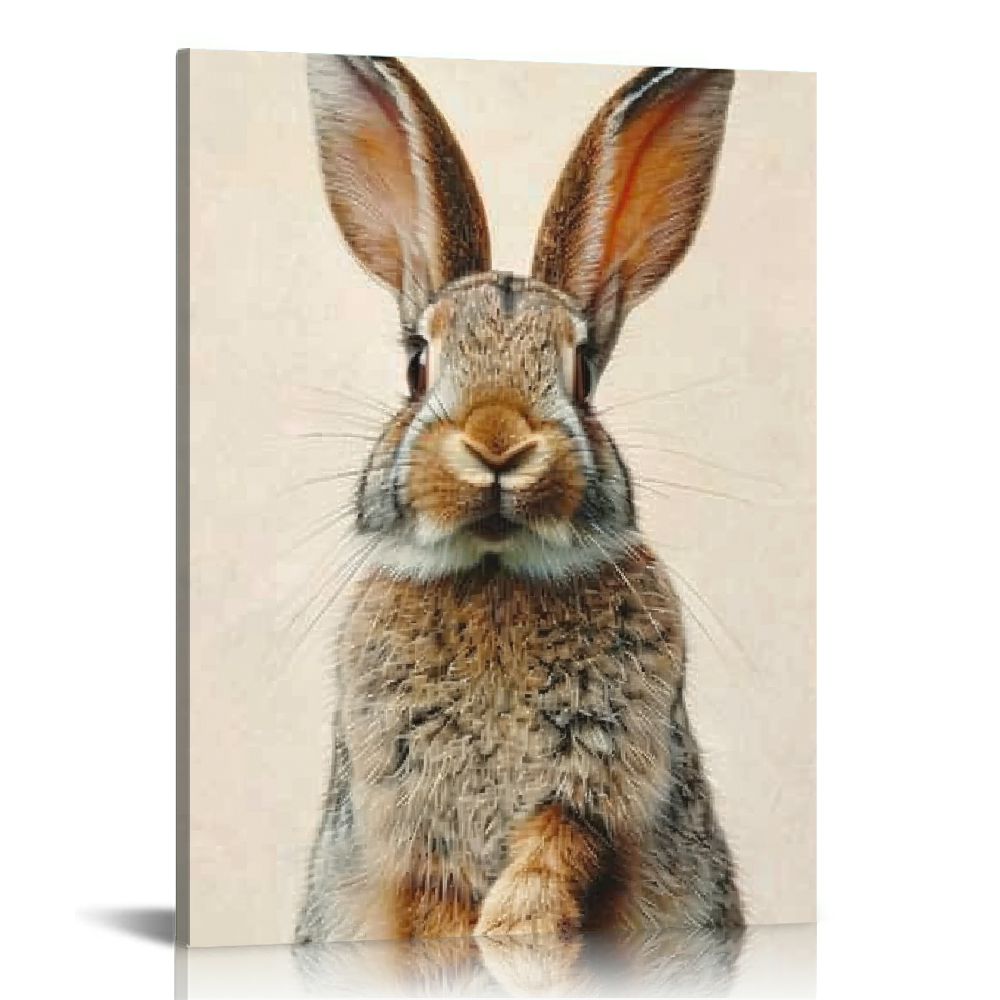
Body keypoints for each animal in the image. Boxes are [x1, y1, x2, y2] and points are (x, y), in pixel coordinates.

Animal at [295, 55, 743, 944]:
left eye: (582, 374)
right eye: (417, 365)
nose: (497, 442)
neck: (497, 571)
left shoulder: (599, 789)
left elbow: (558, 847)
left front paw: (516, 927)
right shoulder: (412, 817)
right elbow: (434, 894)